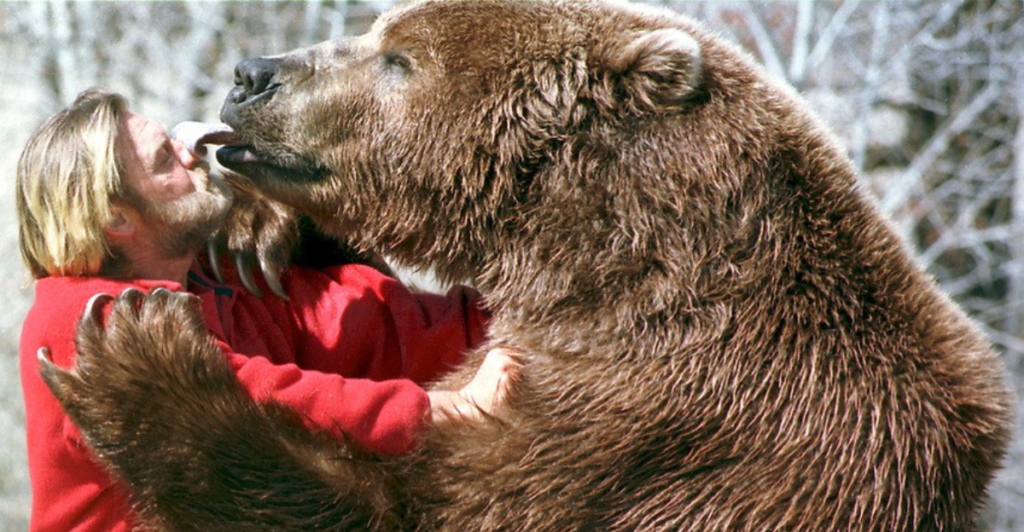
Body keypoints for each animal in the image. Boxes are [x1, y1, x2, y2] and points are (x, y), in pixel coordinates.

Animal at [41, 0, 1013, 530]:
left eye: (398, 57)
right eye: (376, 31)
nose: (251, 73)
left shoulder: (667, 427)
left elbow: (427, 505)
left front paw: (137, 358)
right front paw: (254, 231)